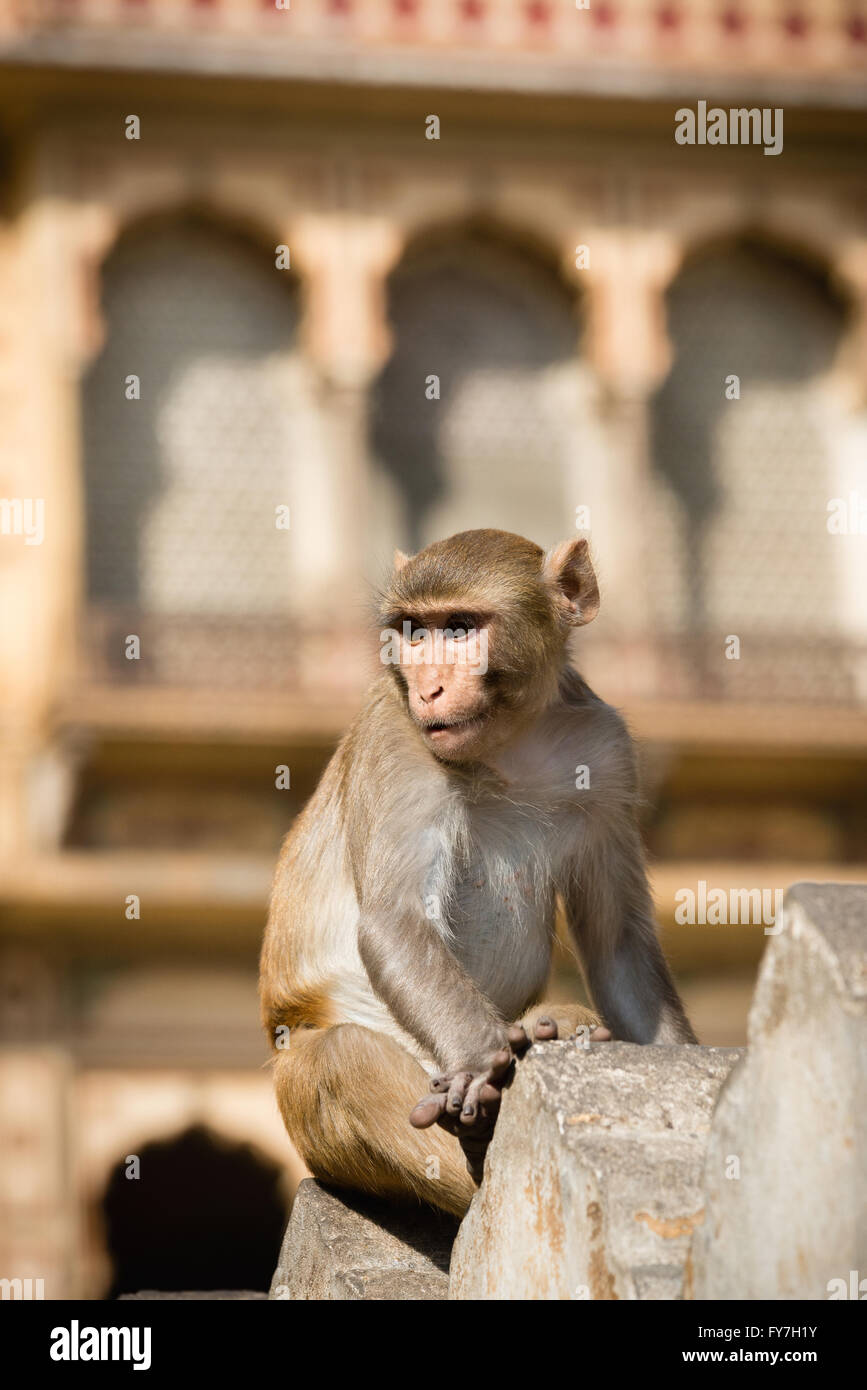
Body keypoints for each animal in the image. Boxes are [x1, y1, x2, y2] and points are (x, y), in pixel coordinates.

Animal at [259, 529, 697, 1218]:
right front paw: (479, 1058)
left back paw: (551, 1028)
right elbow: (393, 921)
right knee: (339, 1058)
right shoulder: (395, 731)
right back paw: (475, 1153)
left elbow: (617, 944)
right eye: (414, 632)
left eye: (461, 628)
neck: (511, 745)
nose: (429, 689)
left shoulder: (606, 752)